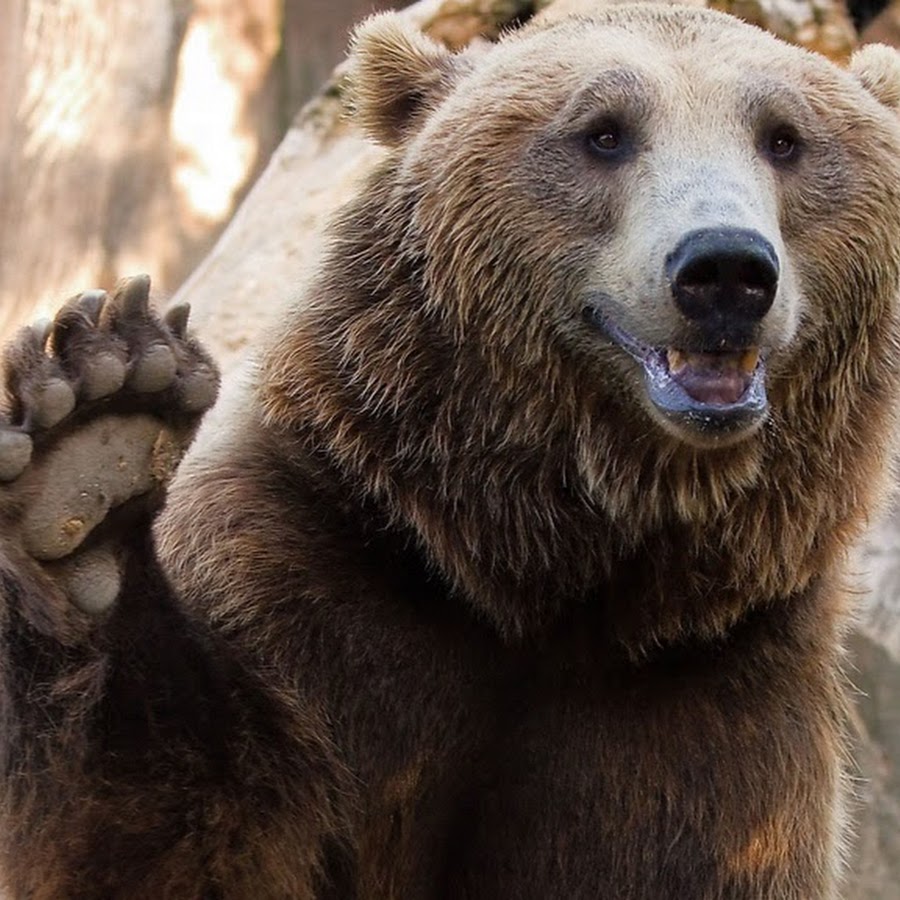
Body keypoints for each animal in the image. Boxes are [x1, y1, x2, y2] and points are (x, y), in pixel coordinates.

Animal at [2, 3, 900, 898]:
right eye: (604, 133)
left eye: (783, 138)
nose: (725, 270)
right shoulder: (319, 572)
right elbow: (189, 826)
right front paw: (98, 435)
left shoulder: (715, 692)